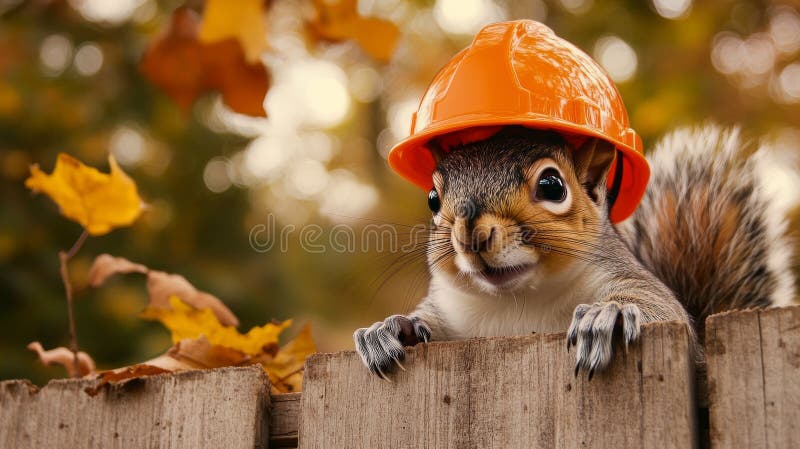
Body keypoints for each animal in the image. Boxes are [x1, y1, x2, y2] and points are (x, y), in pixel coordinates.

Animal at [353, 20, 797, 378]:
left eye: (553, 186)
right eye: (432, 198)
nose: (471, 235)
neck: (518, 303)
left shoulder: (636, 284)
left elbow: (659, 307)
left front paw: (607, 315)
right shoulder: (450, 314)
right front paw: (390, 329)